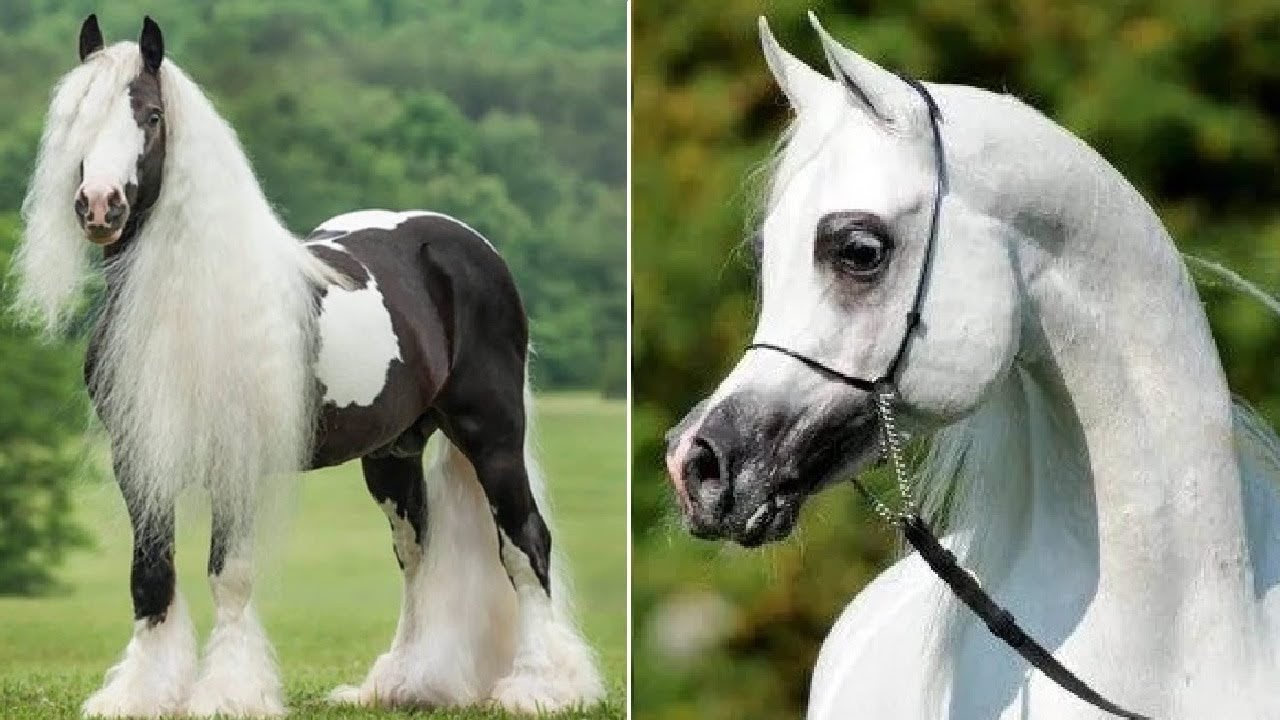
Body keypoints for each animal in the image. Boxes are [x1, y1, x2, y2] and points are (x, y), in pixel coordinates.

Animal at [10, 15, 602, 717]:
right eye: (78, 116)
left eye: (151, 116)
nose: (99, 206)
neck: (182, 302)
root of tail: (464, 243)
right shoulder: (139, 460)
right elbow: (151, 577)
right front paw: (140, 694)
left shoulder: (235, 460)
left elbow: (230, 576)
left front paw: (228, 694)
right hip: (393, 452)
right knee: (417, 554)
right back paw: (403, 683)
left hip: (493, 437)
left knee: (524, 543)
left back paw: (542, 686)